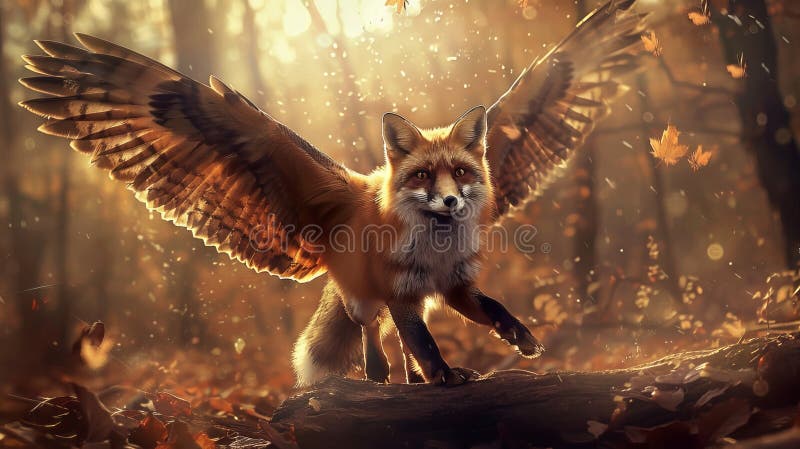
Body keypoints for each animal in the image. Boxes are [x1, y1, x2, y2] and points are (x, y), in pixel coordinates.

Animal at [19, 0, 647, 386]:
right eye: (423, 177)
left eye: (463, 174)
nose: (449, 202)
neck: (433, 247)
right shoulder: (402, 289)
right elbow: (423, 343)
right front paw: (443, 376)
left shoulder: (451, 286)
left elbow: (489, 309)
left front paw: (519, 336)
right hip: (365, 295)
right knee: (374, 334)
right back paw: (381, 375)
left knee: (393, 340)